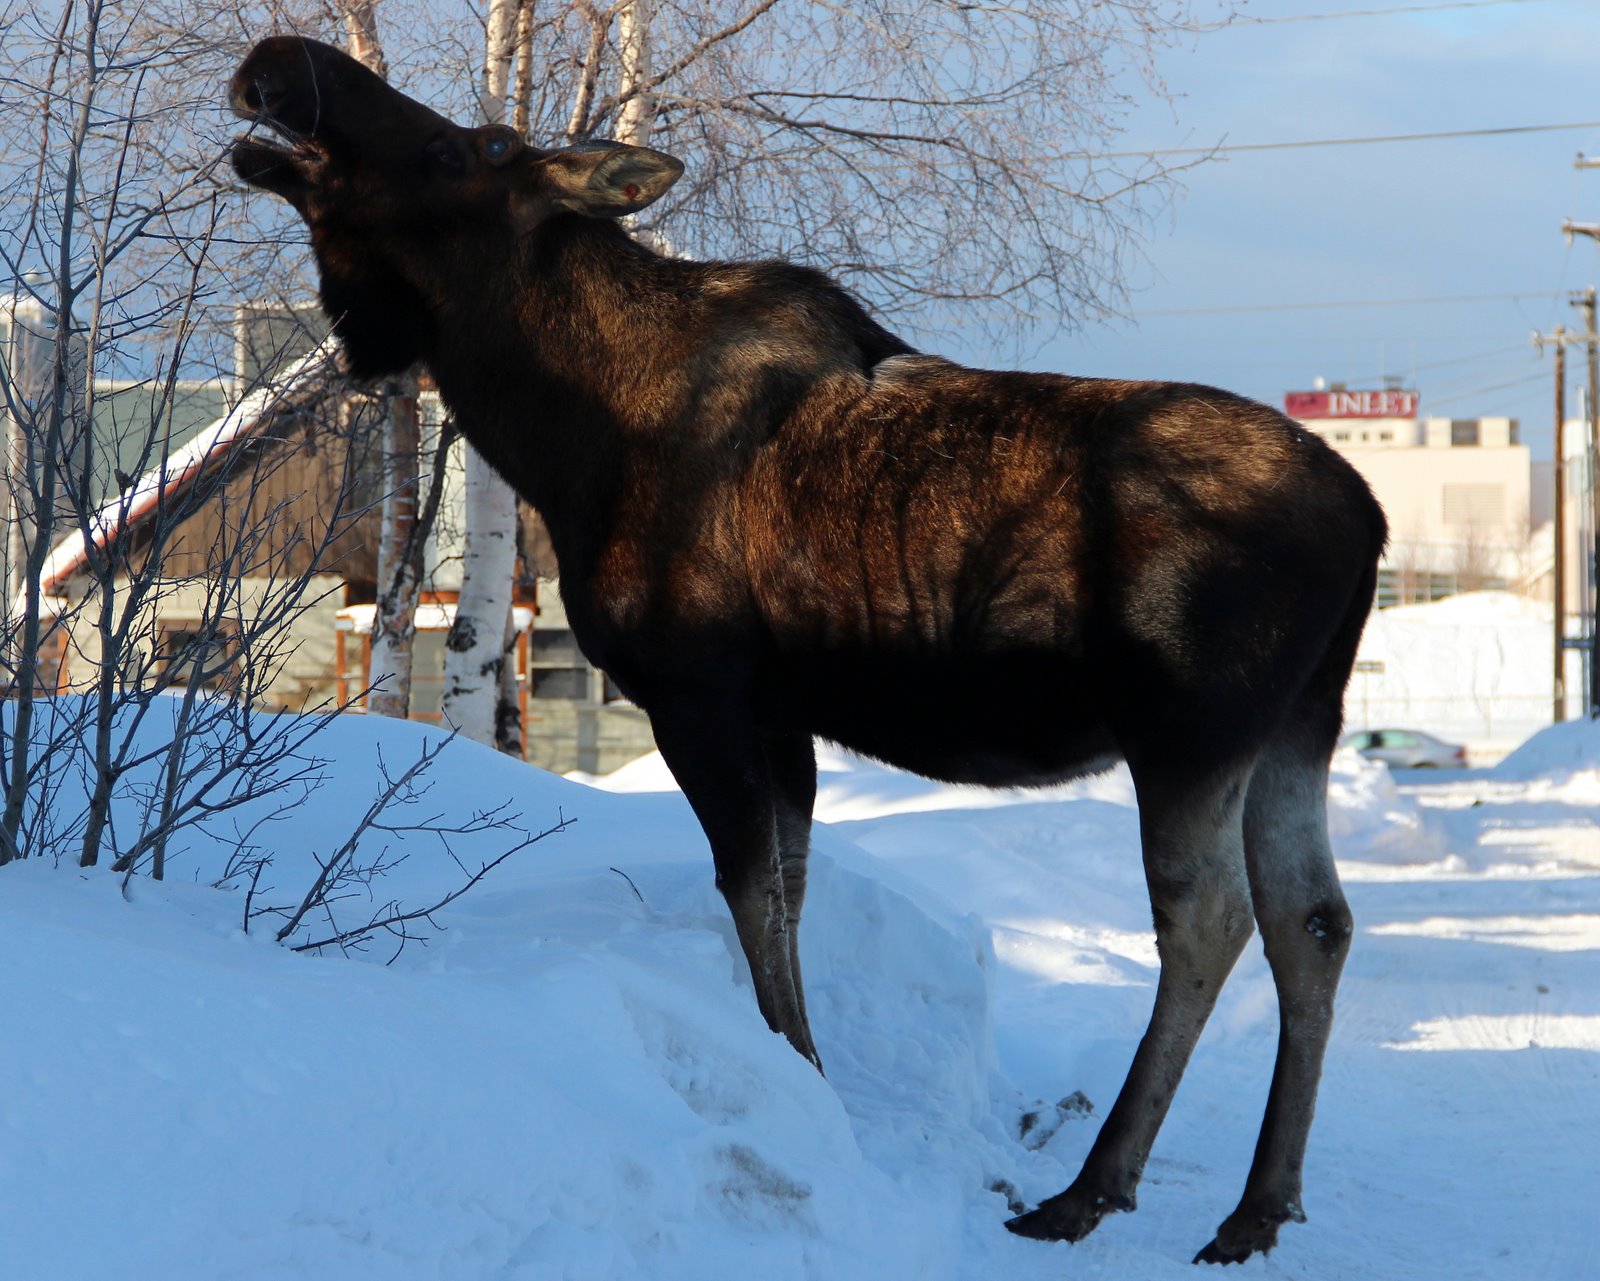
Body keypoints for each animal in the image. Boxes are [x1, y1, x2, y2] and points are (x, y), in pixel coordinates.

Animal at [229, 36, 1386, 1265]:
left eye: (474, 148)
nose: (282, 58)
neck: (559, 435)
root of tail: (1370, 518)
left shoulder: (699, 693)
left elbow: (753, 896)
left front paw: (805, 1081)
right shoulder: (780, 716)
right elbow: (786, 890)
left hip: (1191, 727)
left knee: (1208, 920)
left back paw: (1093, 1186)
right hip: (1297, 726)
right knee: (1314, 921)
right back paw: (1258, 1205)